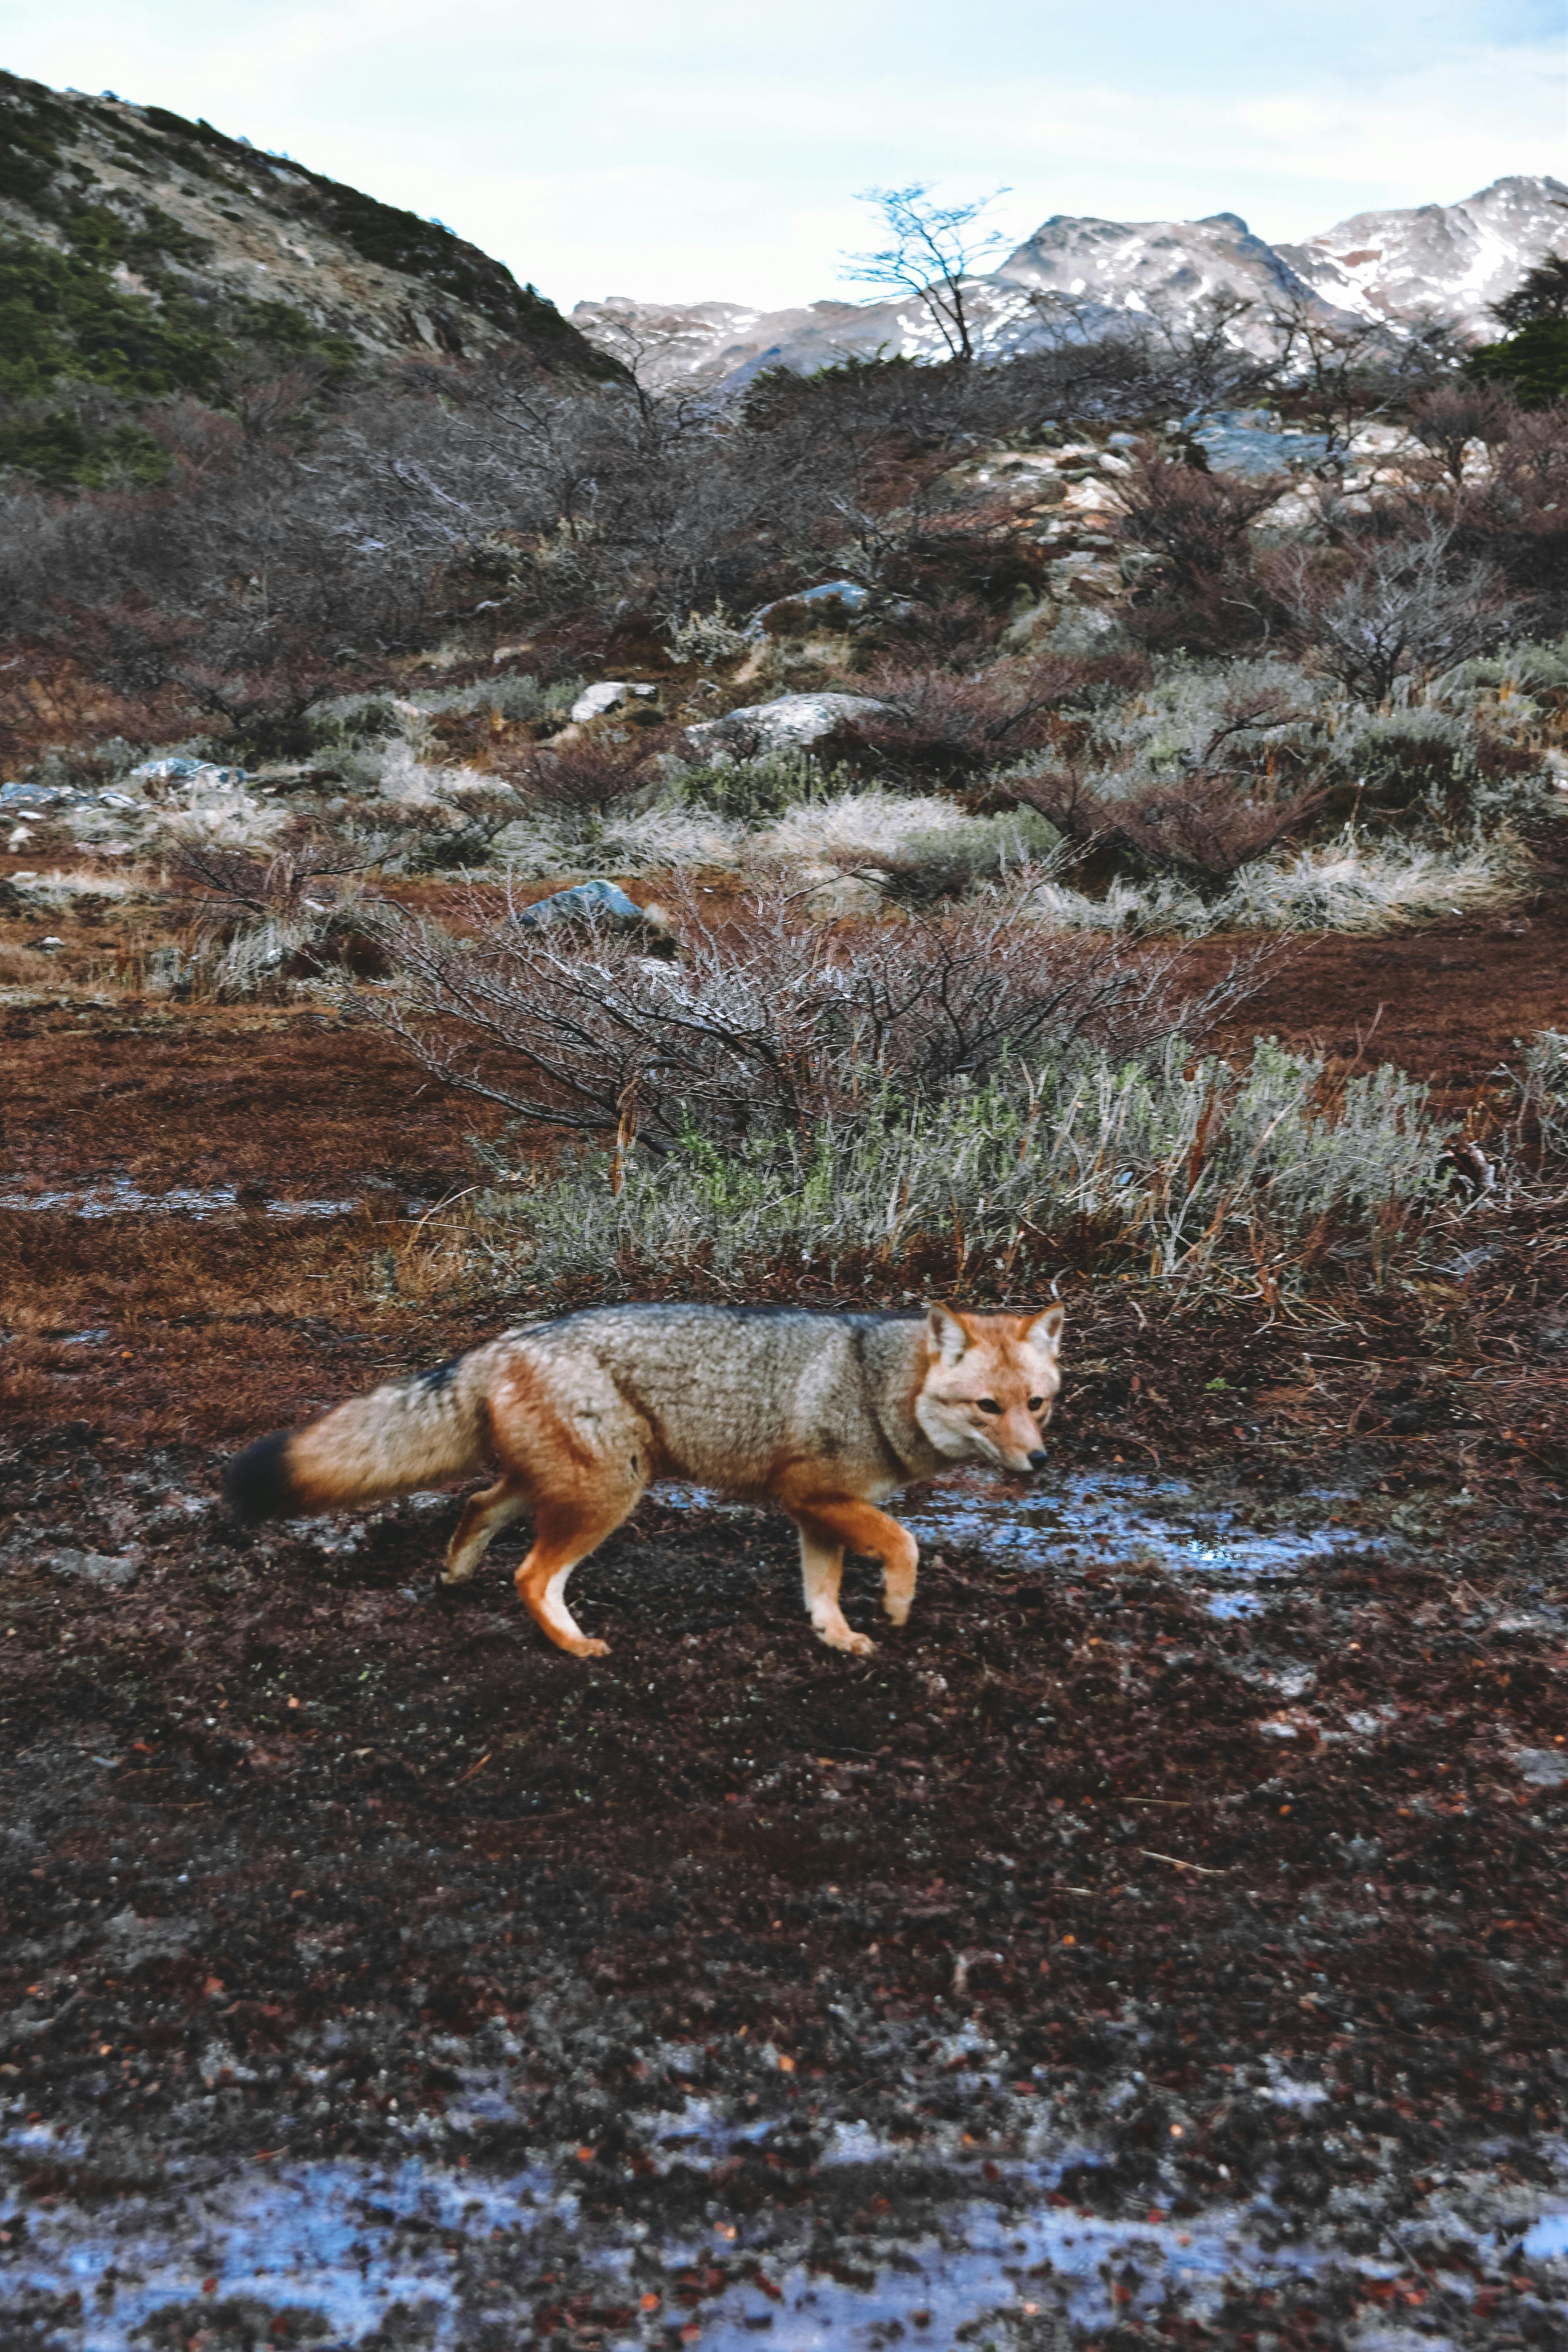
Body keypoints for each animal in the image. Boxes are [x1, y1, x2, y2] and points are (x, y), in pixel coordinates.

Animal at [224, 1300, 1065, 1660]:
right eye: (988, 1408)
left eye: (1039, 1404)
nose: (1039, 1462)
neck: (877, 1386)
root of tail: (500, 1343)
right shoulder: (815, 1498)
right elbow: (905, 1544)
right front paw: (894, 1606)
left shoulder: (817, 1514)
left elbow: (821, 1587)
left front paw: (837, 1636)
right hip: (609, 1494)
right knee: (532, 1576)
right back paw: (574, 1646)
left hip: (556, 1485)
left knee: (477, 1505)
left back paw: (455, 1578)